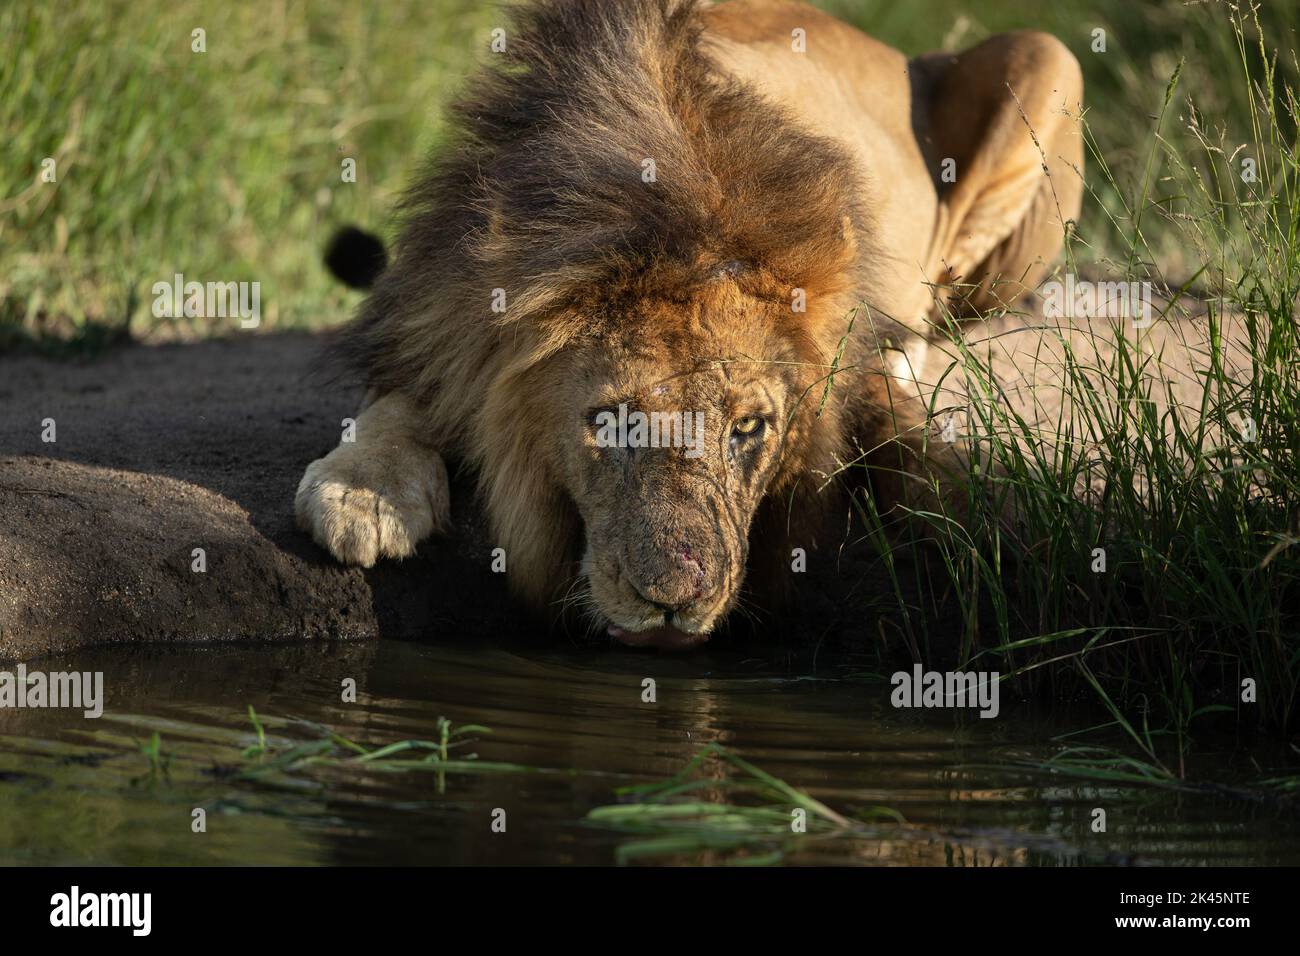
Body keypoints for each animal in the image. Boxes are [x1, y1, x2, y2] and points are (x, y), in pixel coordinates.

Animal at [295, 0, 1083, 649]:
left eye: (749, 429)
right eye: (610, 422)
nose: (673, 603)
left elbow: (903, 426)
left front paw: (975, 504)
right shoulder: (437, 318)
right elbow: (397, 400)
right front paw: (364, 492)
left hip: (1049, 57)